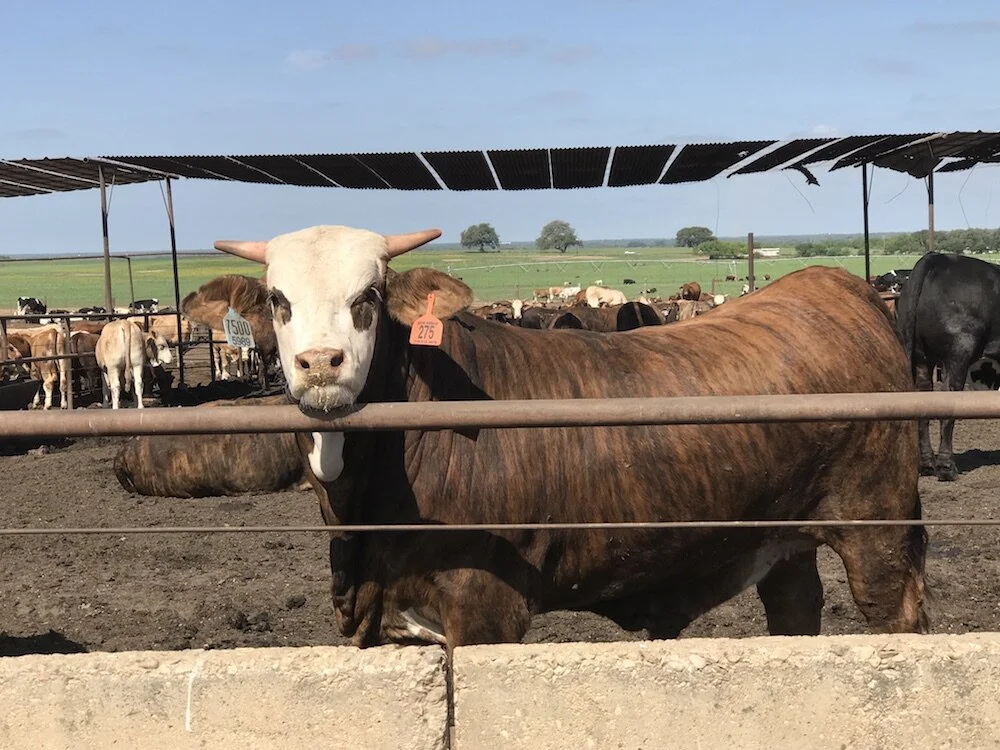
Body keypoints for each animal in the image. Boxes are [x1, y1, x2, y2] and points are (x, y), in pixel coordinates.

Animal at [214, 224, 927, 650]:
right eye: (277, 299)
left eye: (369, 295)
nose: (320, 363)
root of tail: (835, 285)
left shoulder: (486, 609)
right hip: (783, 538)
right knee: (796, 611)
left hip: (877, 528)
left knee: (894, 614)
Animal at [895, 252, 1000, 480]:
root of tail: (938, 258)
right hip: (958, 353)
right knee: (948, 398)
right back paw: (946, 467)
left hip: (921, 358)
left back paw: (927, 463)